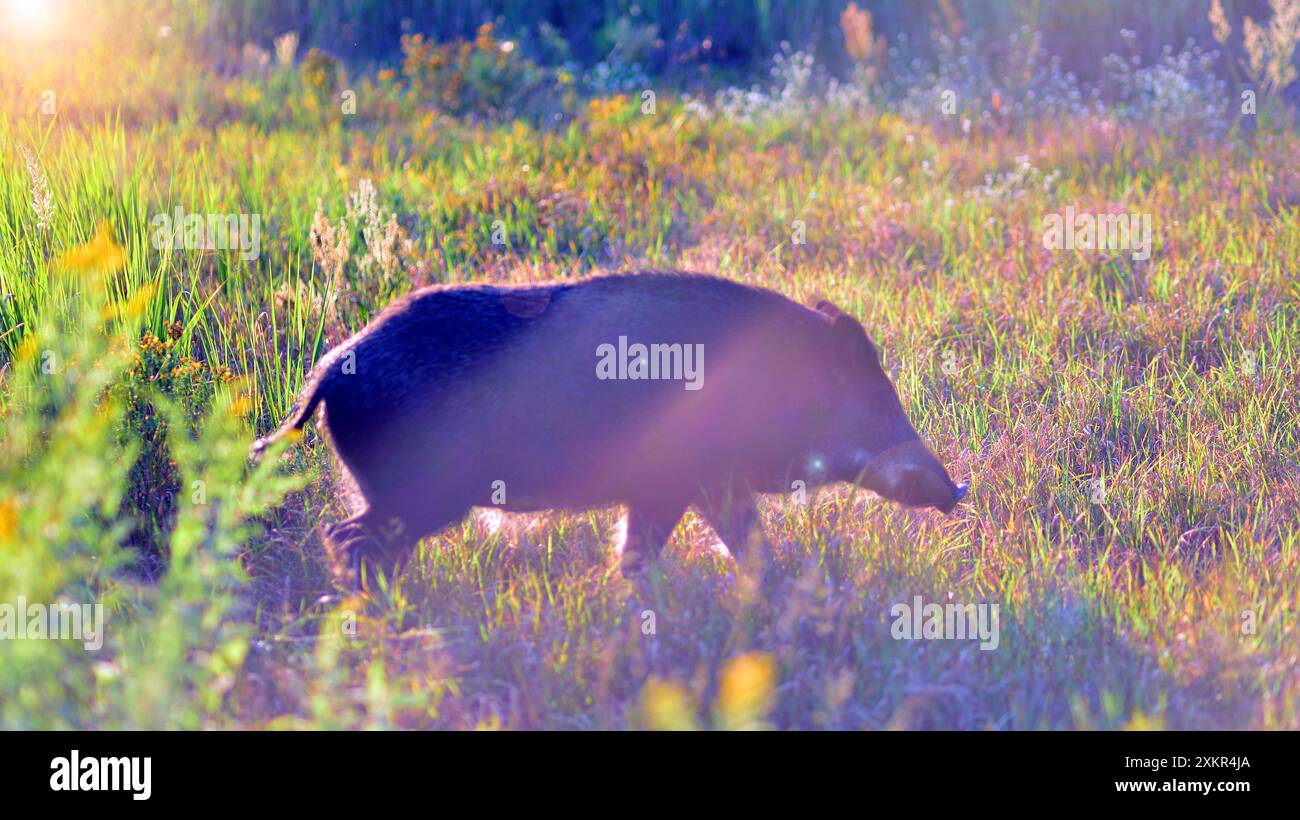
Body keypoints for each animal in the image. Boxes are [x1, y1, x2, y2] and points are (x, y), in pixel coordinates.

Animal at [252, 271, 967, 584]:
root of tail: (330, 370)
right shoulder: (685, 480)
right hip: (417, 494)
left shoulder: (687, 487)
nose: (957, 490)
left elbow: (691, 550)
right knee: (346, 537)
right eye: (873, 398)